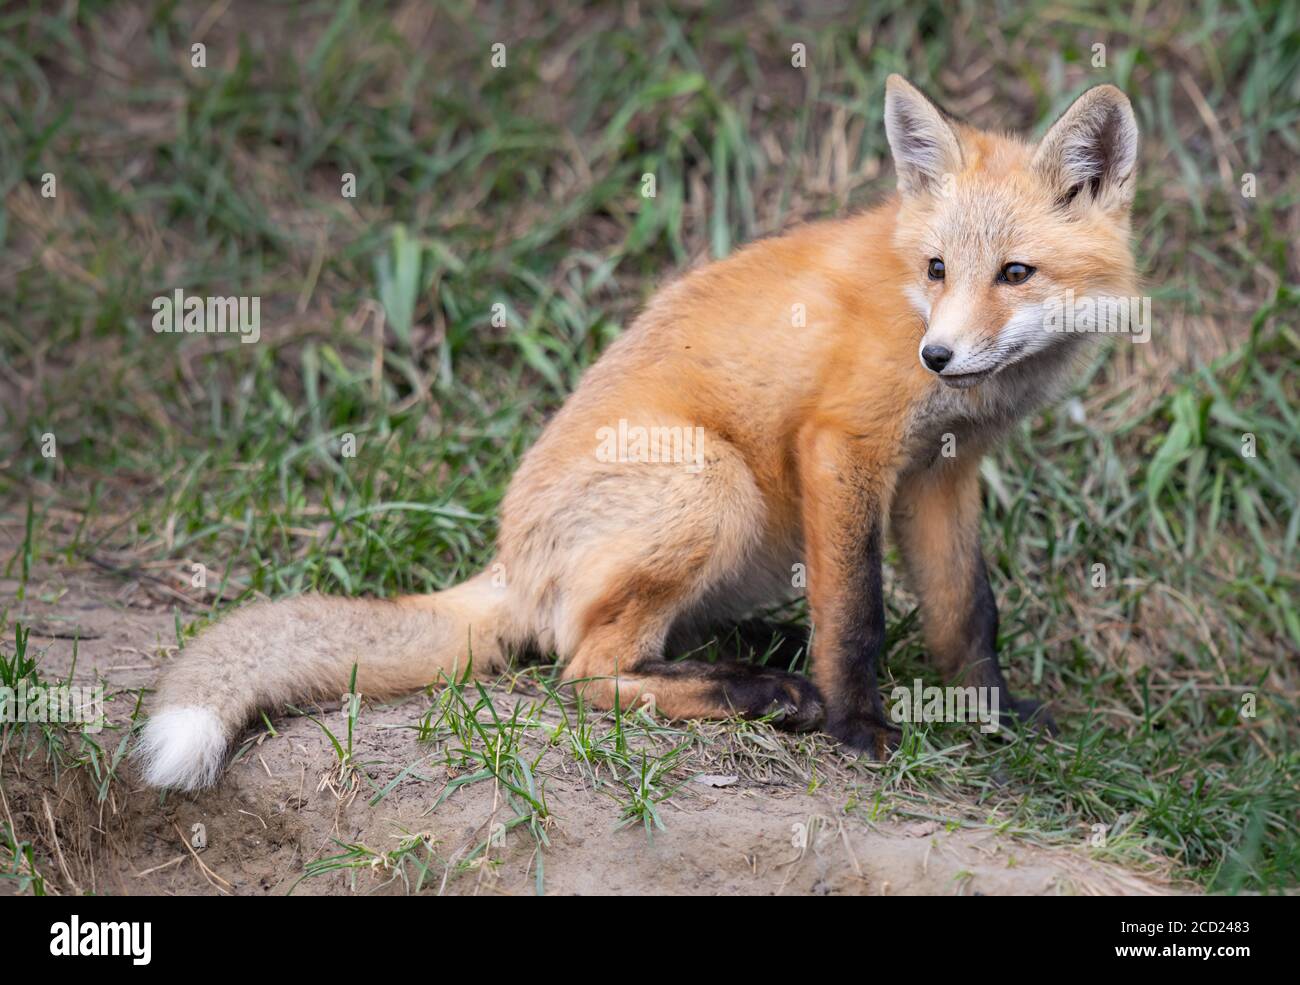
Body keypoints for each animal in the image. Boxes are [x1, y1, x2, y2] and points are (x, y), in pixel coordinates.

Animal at [138, 75, 1140, 790]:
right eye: (937, 268)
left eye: (1015, 272)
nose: (937, 356)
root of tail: (511, 557)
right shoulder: (844, 447)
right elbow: (856, 613)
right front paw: (859, 726)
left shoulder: (943, 469)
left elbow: (967, 612)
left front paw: (990, 715)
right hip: (716, 485)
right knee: (581, 668)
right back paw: (759, 690)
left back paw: (765, 654)